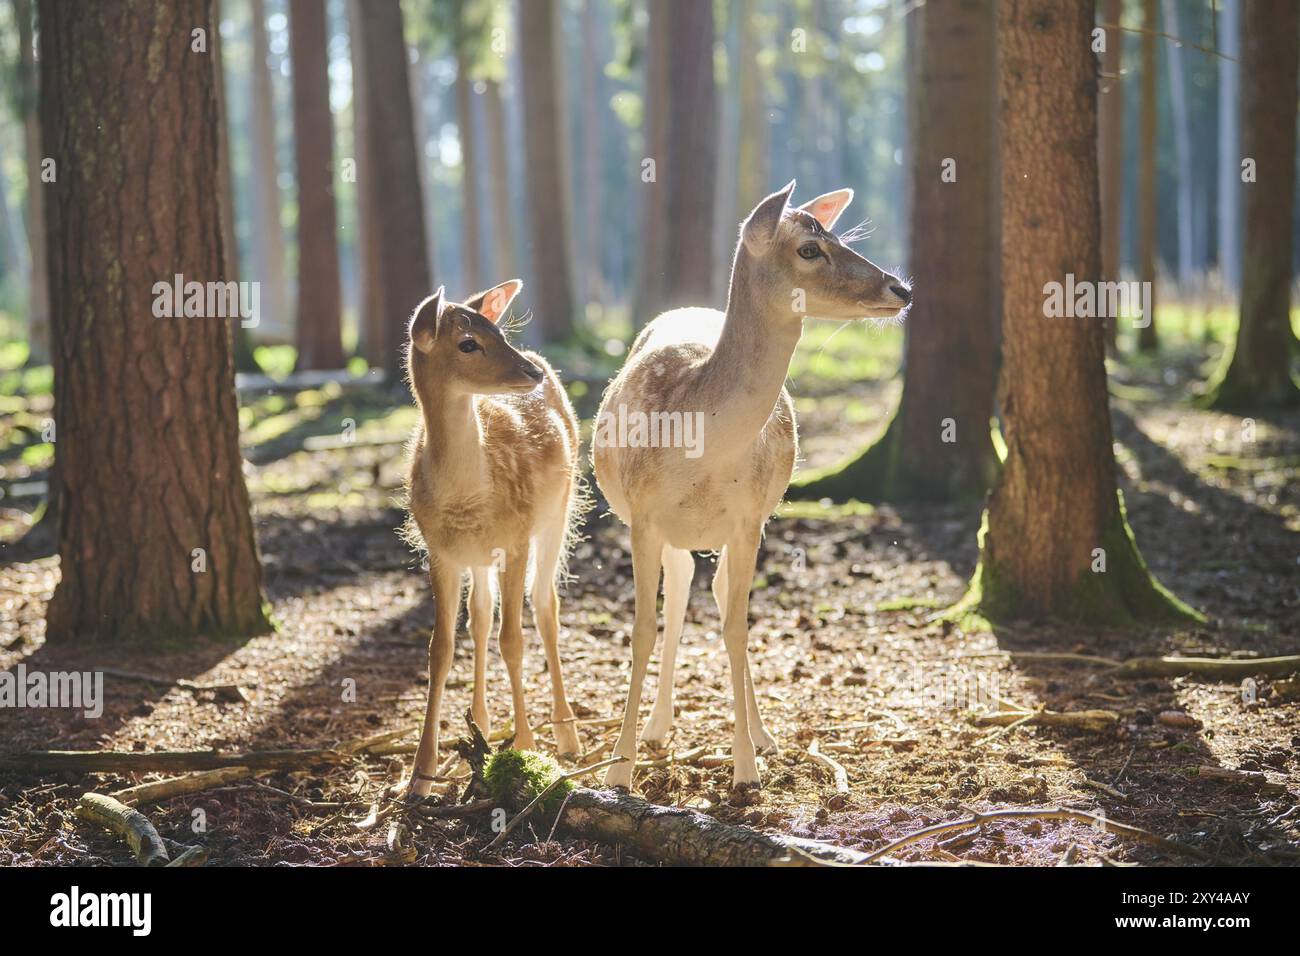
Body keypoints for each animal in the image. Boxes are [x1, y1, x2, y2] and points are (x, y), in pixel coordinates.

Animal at [403, 280, 585, 798]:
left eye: (497, 331)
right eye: (468, 343)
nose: (532, 372)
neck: (467, 497)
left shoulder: (517, 535)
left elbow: (513, 640)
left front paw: (524, 748)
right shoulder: (439, 553)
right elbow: (440, 649)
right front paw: (420, 775)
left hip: (558, 511)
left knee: (545, 606)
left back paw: (567, 734)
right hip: (480, 557)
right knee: (480, 616)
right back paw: (480, 726)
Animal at [592, 181, 911, 792]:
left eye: (839, 235)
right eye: (809, 249)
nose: (901, 287)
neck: (700, 443)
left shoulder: (745, 519)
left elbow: (738, 627)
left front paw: (745, 767)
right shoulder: (643, 516)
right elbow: (641, 627)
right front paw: (619, 768)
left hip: (747, 522)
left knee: (717, 596)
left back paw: (761, 734)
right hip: (671, 528)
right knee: (682, 588)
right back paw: (657, 727)